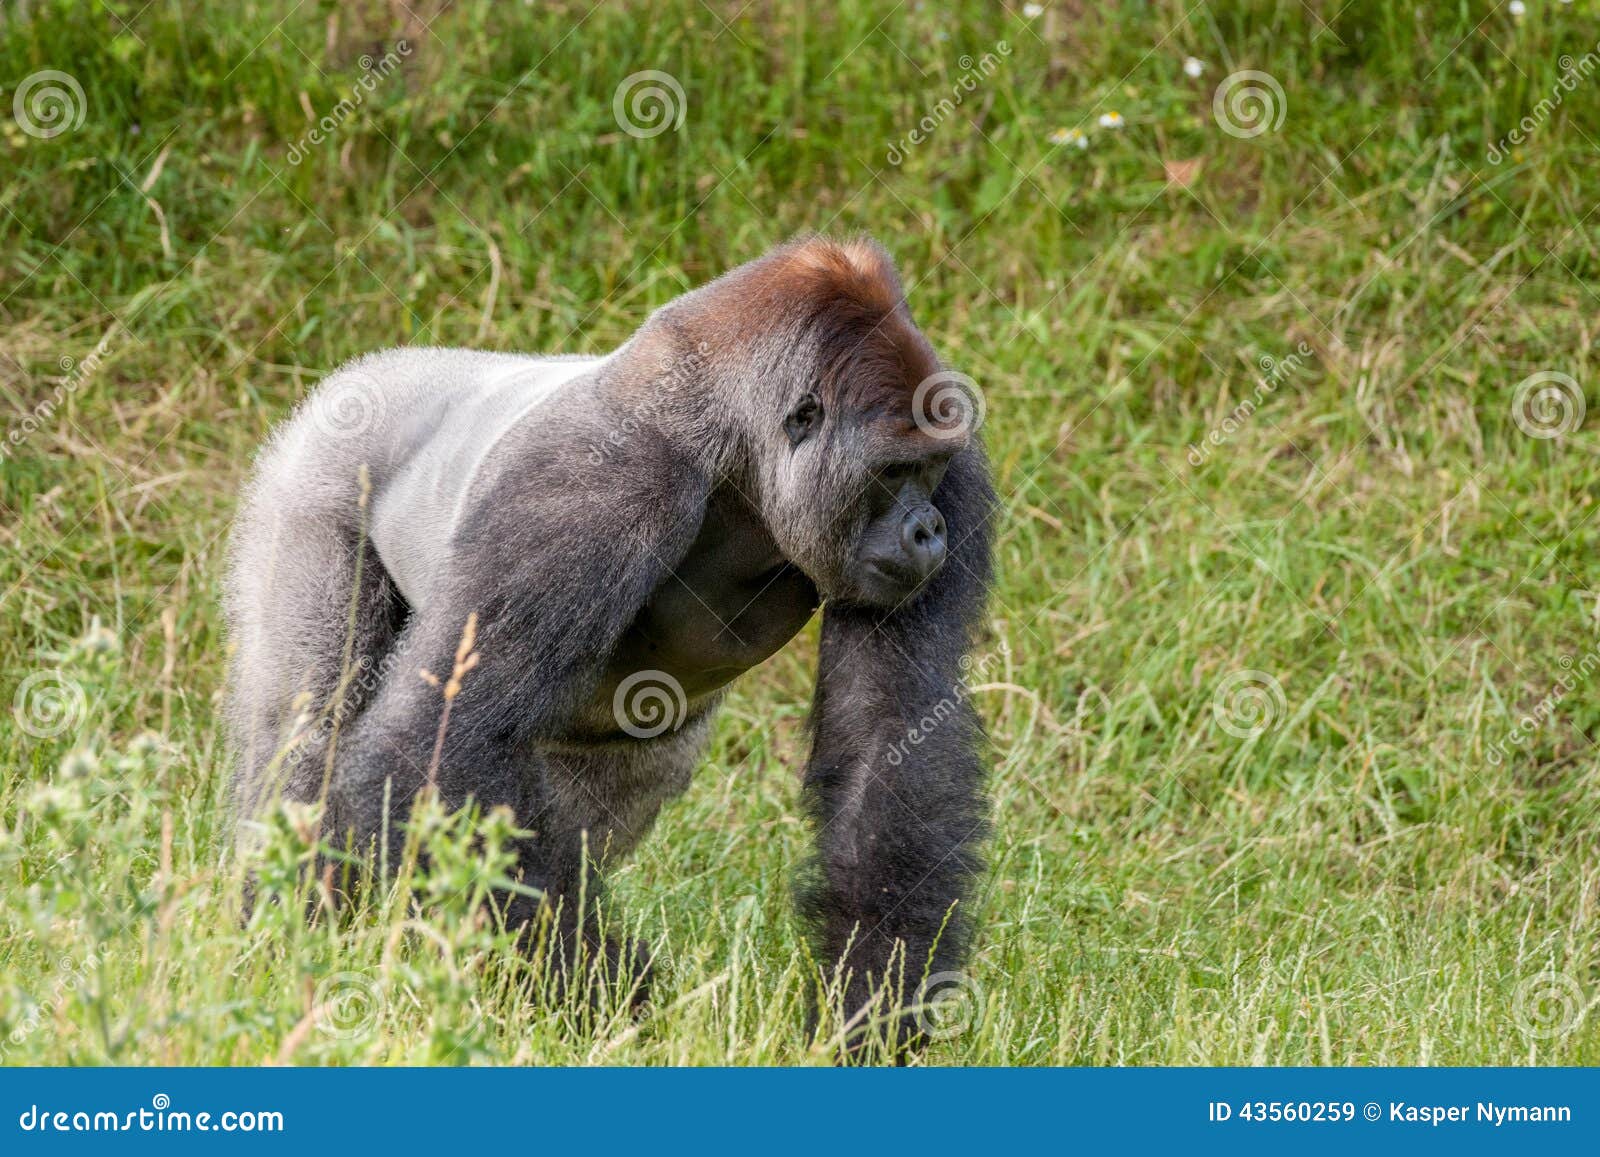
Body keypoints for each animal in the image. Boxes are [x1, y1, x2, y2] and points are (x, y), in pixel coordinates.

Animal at [224, 235, 996, 1050]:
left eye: (932, 471)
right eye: (893, 472)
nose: (928, 529)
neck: (729, 433)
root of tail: (376, 368)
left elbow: (890, 739)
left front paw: (873, 1004)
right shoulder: (596, 486)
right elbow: (437, 741)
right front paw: (608, 998)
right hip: (314, 471)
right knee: (306, 733)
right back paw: (286, 939)